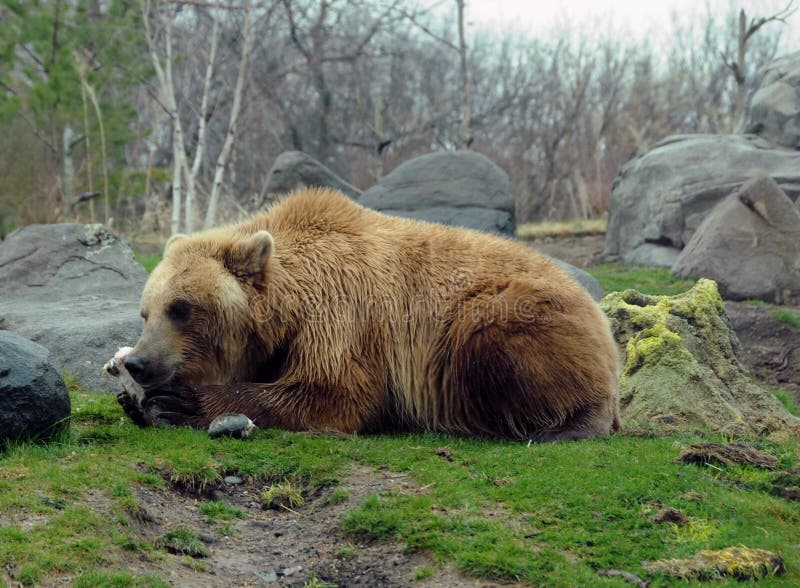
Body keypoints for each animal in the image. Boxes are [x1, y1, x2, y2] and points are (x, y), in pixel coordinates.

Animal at [117, 188, 620, 440]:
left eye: (181, 308)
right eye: (146, 312)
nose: (138, 362)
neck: (287, 310)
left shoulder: (341, 314)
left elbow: (334, 393)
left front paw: (179, 402)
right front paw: (133, 400)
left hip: (504, 316)